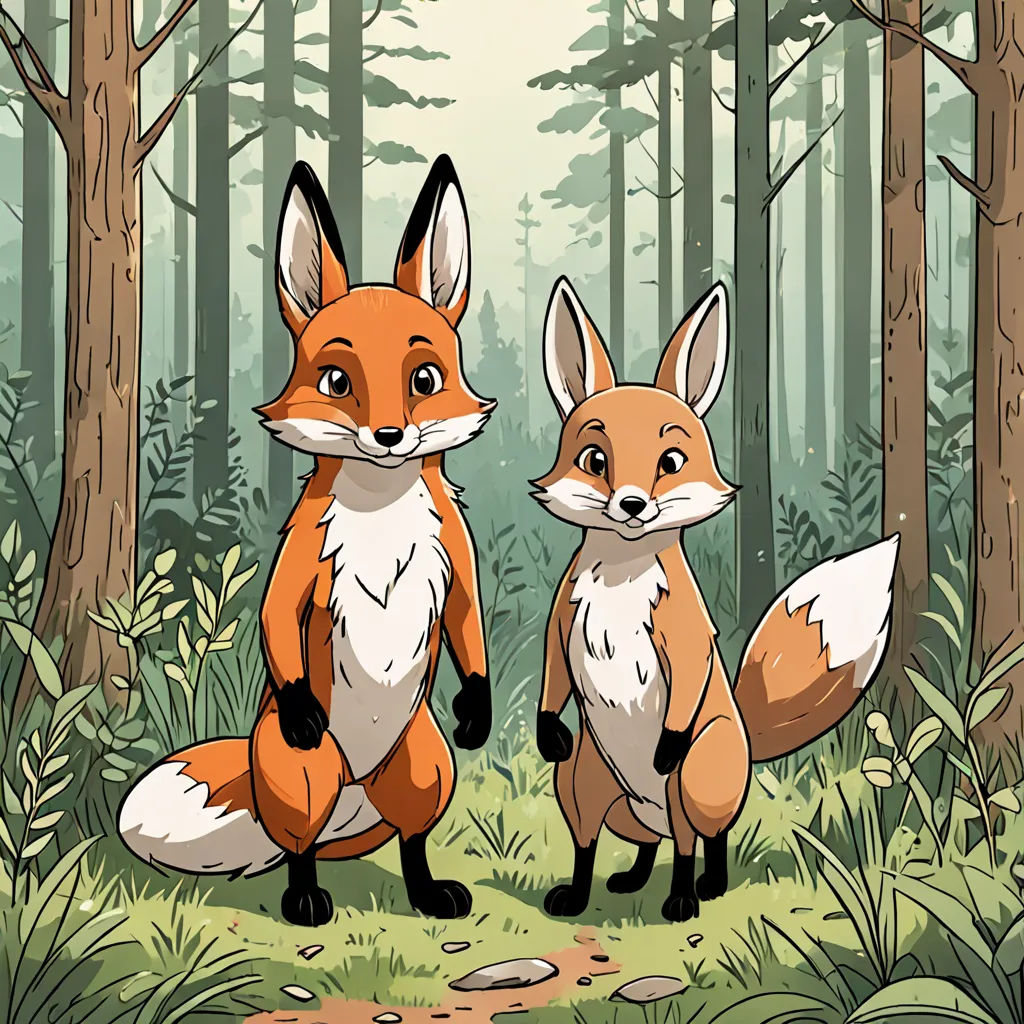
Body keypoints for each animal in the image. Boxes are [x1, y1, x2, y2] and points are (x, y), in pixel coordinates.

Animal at [119, 155, 495, 926]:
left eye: (424, 379)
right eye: (336, 381)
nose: (389, 436)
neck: (381, 513)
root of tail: (354, 788)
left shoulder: (458, 568)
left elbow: (472, 633)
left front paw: (478, 708)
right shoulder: (299, 564)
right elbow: (273, 617)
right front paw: (300, 709)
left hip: (425, 767)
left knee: (412, 839)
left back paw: (429, 893)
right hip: (304, 776)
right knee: (300, 845)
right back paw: (305, 898)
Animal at [532, 276, 899, 923]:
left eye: (671, 462)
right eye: (595, 460)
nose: (632, 505)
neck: (621, 581)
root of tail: (748, 745)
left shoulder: (685, 634)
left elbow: (689, 677)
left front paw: (664, 749)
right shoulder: (563, 619)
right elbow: (553, 674)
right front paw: (547, 729)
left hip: (693, 782)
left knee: (699, 840)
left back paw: (694, 893)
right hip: (583, 777)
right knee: (606, 842)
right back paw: (596, 889)